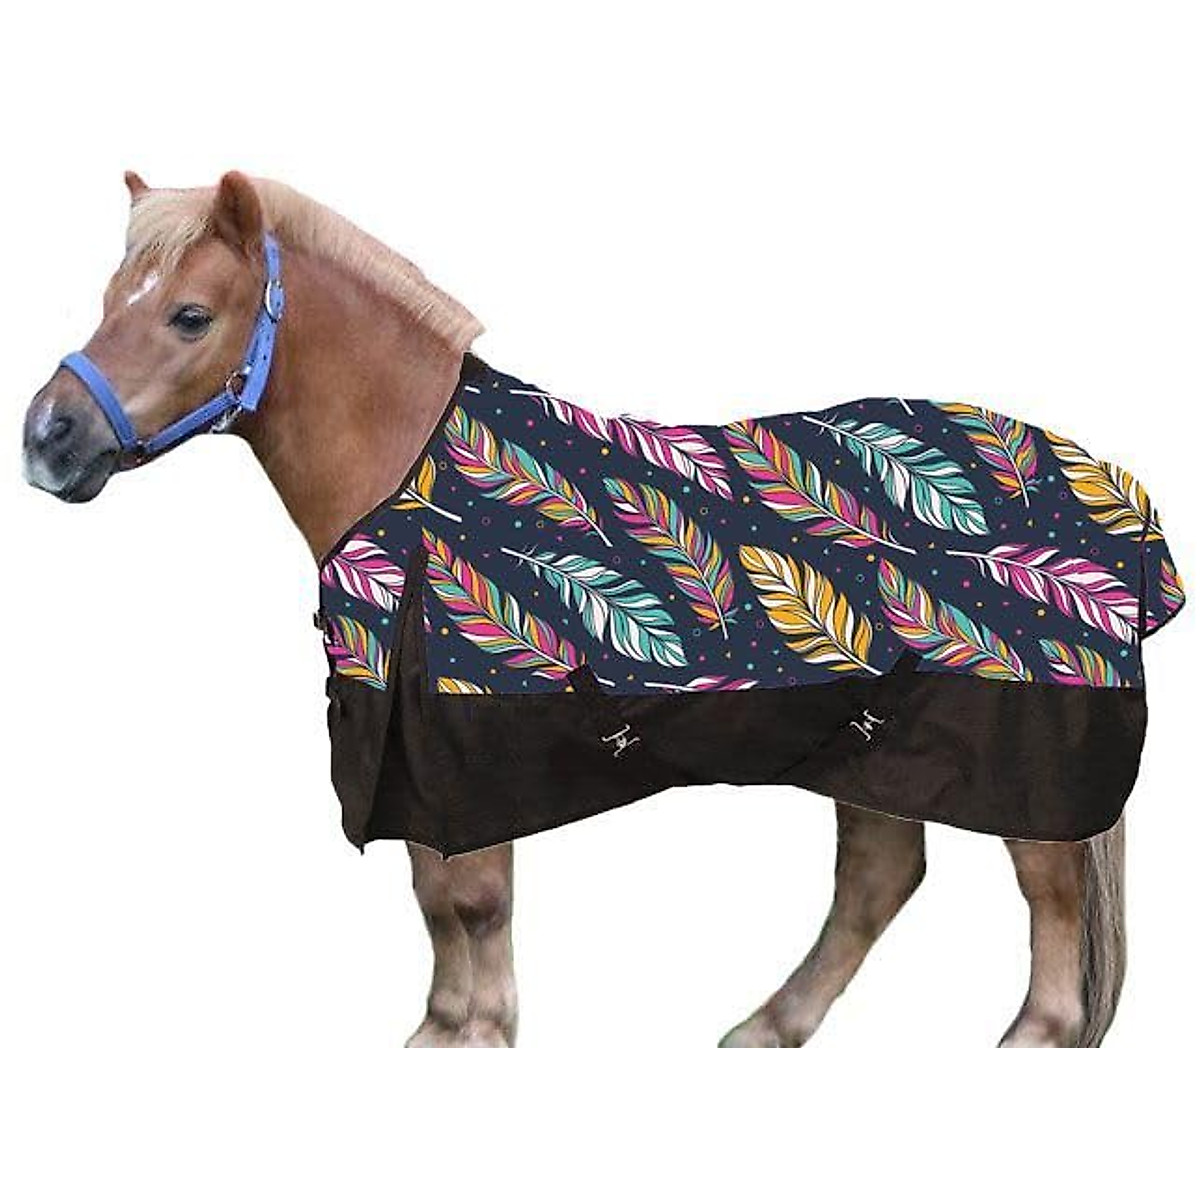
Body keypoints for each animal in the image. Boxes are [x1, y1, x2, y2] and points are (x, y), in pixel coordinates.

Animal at [22, 171, 1183, 1048]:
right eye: (108, 297)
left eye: (188, 315)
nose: (47, 438)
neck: (418, 473)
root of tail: (1117, 495)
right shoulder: (418, 753)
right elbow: (437, 899)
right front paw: (443, 1028)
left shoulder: (466, 736)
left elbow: (473, 898)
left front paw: (478, 1037)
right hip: (874, 740)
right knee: (879, 877)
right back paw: (767, 1030)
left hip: (1016, 735)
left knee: (1047, 893)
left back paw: (1023, 1041)